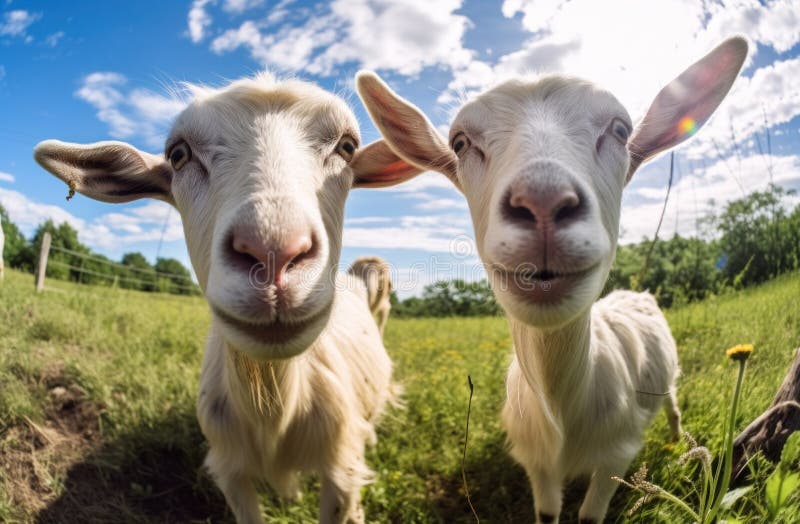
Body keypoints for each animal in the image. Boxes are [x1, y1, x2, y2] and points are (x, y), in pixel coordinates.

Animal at [33, 73, 420, 524]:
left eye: (347, 147)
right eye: (178, 154)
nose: (273, 250)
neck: (273, 408)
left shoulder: (341, 470)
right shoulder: (231, 471)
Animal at [354, 37, 748, 523]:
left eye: (621, 130)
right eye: (460, 142)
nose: (542, 200)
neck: (562, 414)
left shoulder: (616, 456)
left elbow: (591, 514)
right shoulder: (535, 461)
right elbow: (547, 513)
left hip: (667, 379)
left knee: (672, 406)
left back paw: (677, 443)